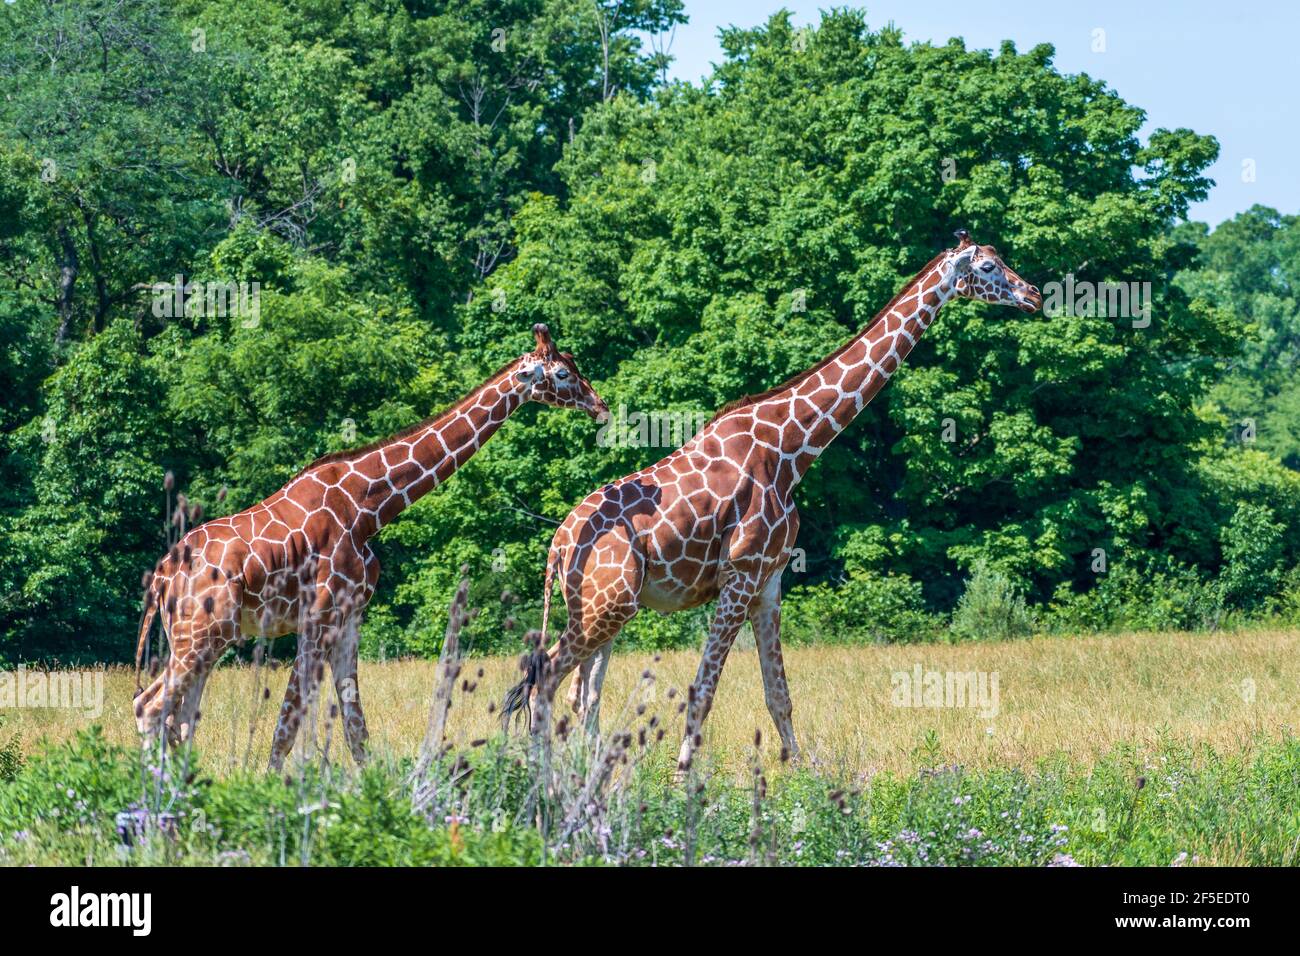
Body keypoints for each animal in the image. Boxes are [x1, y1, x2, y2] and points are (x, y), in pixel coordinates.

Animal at [134, 324, 609, 769]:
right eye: (563, 373)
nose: (600, 407)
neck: (367, 507)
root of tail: (160, 577)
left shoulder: (349, 618)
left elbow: (354, 725)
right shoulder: (318, 616)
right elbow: (288, 724)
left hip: (201, 638)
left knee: (178, 718)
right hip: (199, 635)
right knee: (151, 708)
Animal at [502, 231, 1041, 768]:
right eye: (988, 267)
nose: (1034, 293)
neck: (791, 450)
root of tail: (557, 546)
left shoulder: (770, 580)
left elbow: (778, 692)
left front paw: (799, 772)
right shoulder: (740, 574)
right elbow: (703, 689)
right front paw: (683, 777)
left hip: (601, 606)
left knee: (575, 691)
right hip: (607, 605)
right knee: (547, 676)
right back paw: (543, 776)